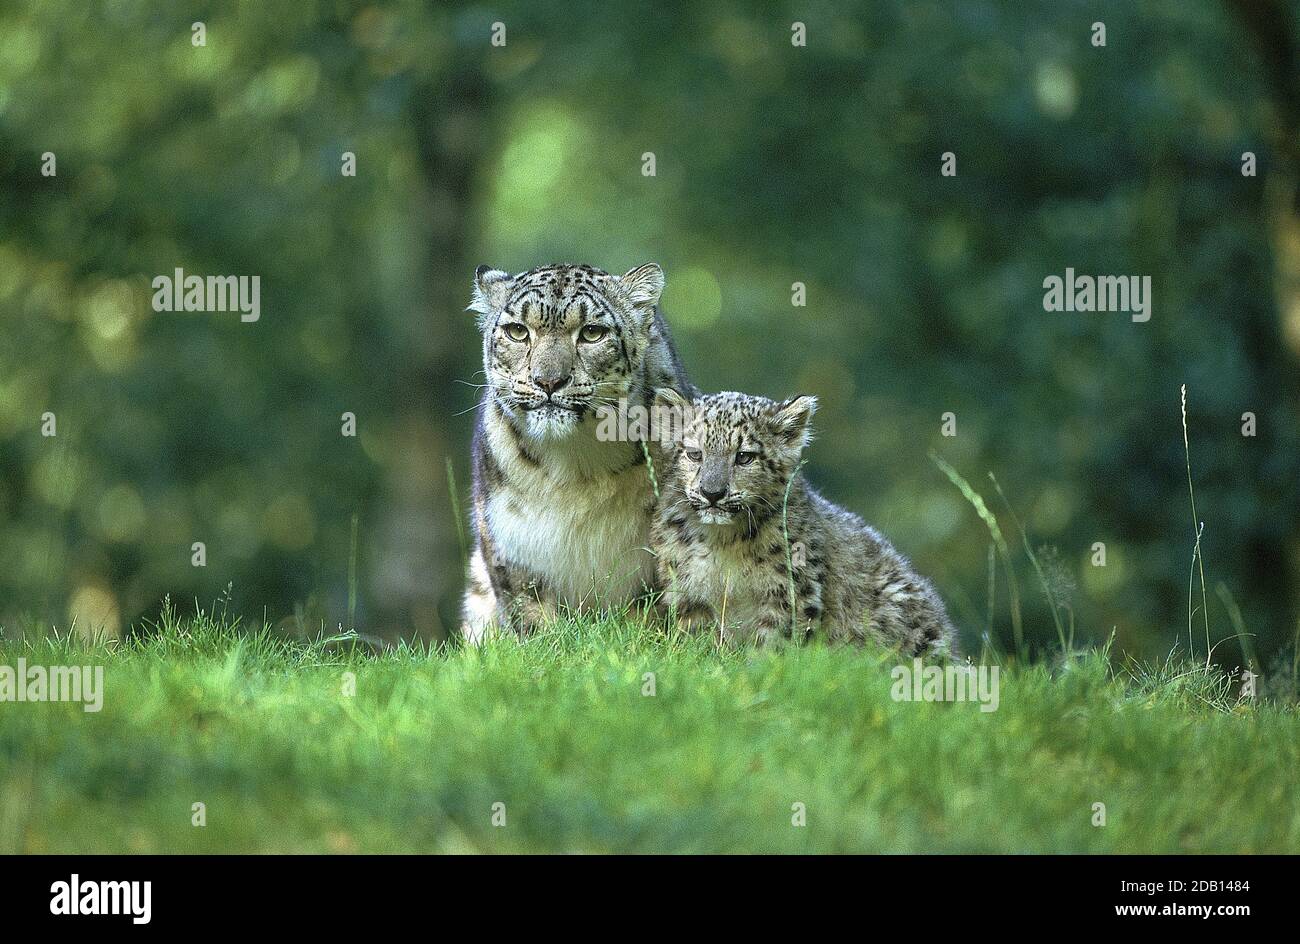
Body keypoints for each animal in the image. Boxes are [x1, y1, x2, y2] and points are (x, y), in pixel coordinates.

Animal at [460, 262, 694, 642]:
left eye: (592, 333)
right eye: (517, 331)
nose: (548, 381)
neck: (575, 466)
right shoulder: (509, 542)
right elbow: (529, 611)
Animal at [650, 388, 956, 655]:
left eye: (745, 456)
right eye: (694, 453)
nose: (712, 493)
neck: (723, 541)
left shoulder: (789, 591)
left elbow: (773, 644)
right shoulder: (688, 592)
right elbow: (699, 643)